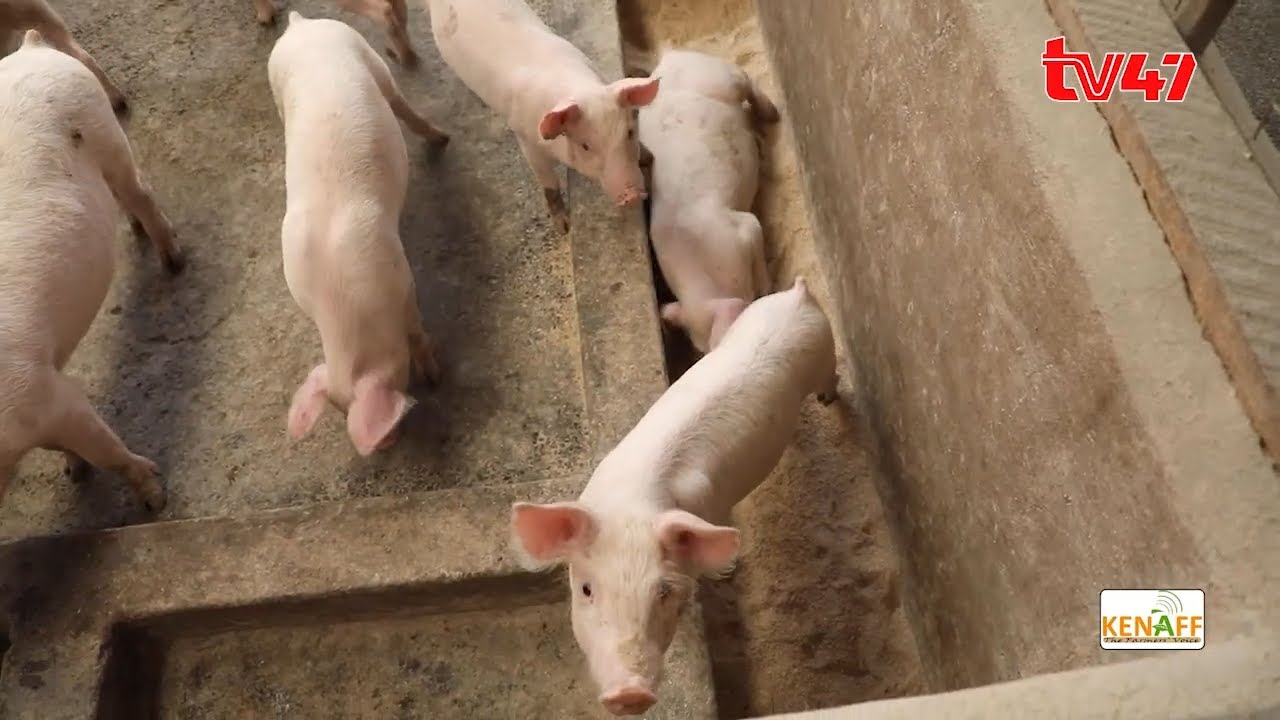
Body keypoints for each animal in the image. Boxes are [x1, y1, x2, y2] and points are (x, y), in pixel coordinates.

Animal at [0, 30, 184, 511]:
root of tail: (30, 49)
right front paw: (74, 472)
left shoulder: (38, 394)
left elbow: (102, 444)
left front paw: (155, 500)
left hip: (103, 128)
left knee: (138, 190)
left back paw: (174, 262)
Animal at [269, 12, 449, 456]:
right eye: (338, 410)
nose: (383, 446)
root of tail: (300, 25)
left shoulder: (402, 279)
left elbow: (417, 330)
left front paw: (436, 376)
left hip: (364, 53)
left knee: (398, 99)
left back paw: (441, 138)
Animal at [424, 0, 660, 234]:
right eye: (585, 146)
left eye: (629, 132)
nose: (632, 195)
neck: (578, 88)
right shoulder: (526, 139)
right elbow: (547, 182)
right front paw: (563, 228)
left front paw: (649, 156)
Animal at [509, 276, 839, 716]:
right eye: (586, 590)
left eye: (663, 592)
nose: (629, 693)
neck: (634, 500)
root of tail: (797, 294)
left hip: (826, 351)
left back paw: (830, 401)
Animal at [640, 49, 782, 354]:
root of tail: (671, 57)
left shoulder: (742, 229)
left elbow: (754, 234)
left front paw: (767, 289)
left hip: (720, 76)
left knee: (744, 80)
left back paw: (773, 114)